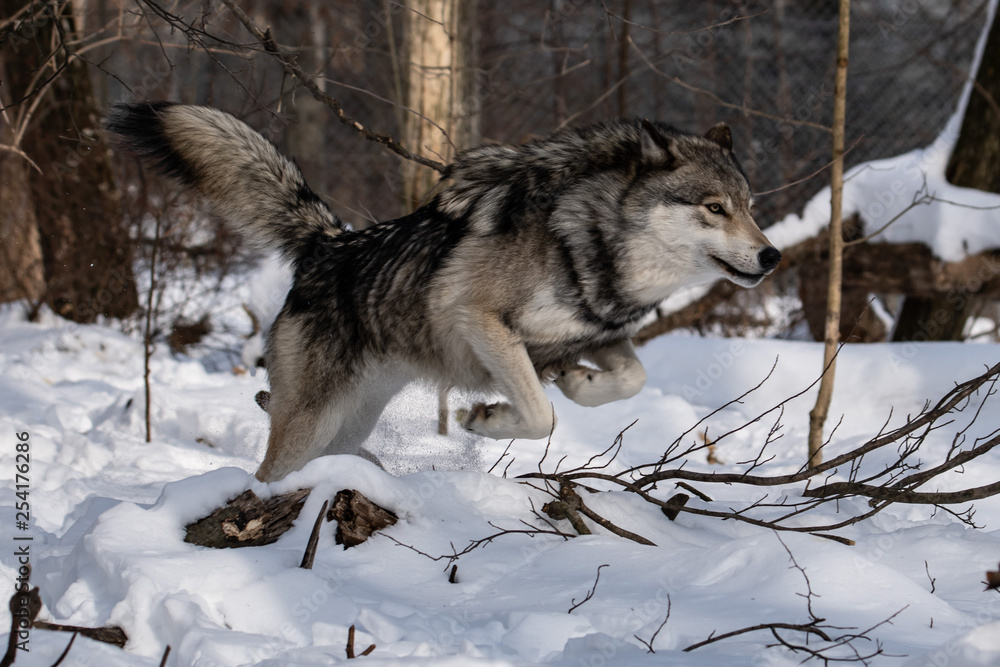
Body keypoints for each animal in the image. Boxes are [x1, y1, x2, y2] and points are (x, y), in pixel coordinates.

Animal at [105, 102, 781, 481]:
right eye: (714, 208)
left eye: (750, 206)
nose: (772, 255)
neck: (590, 245)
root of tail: (328, 243)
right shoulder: (478, 318)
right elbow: (540, 413)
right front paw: (485, 419)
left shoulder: (595, 336)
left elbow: (627, 380)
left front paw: (577, 383)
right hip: (312, 423)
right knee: (268, 472)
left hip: (348, 421)